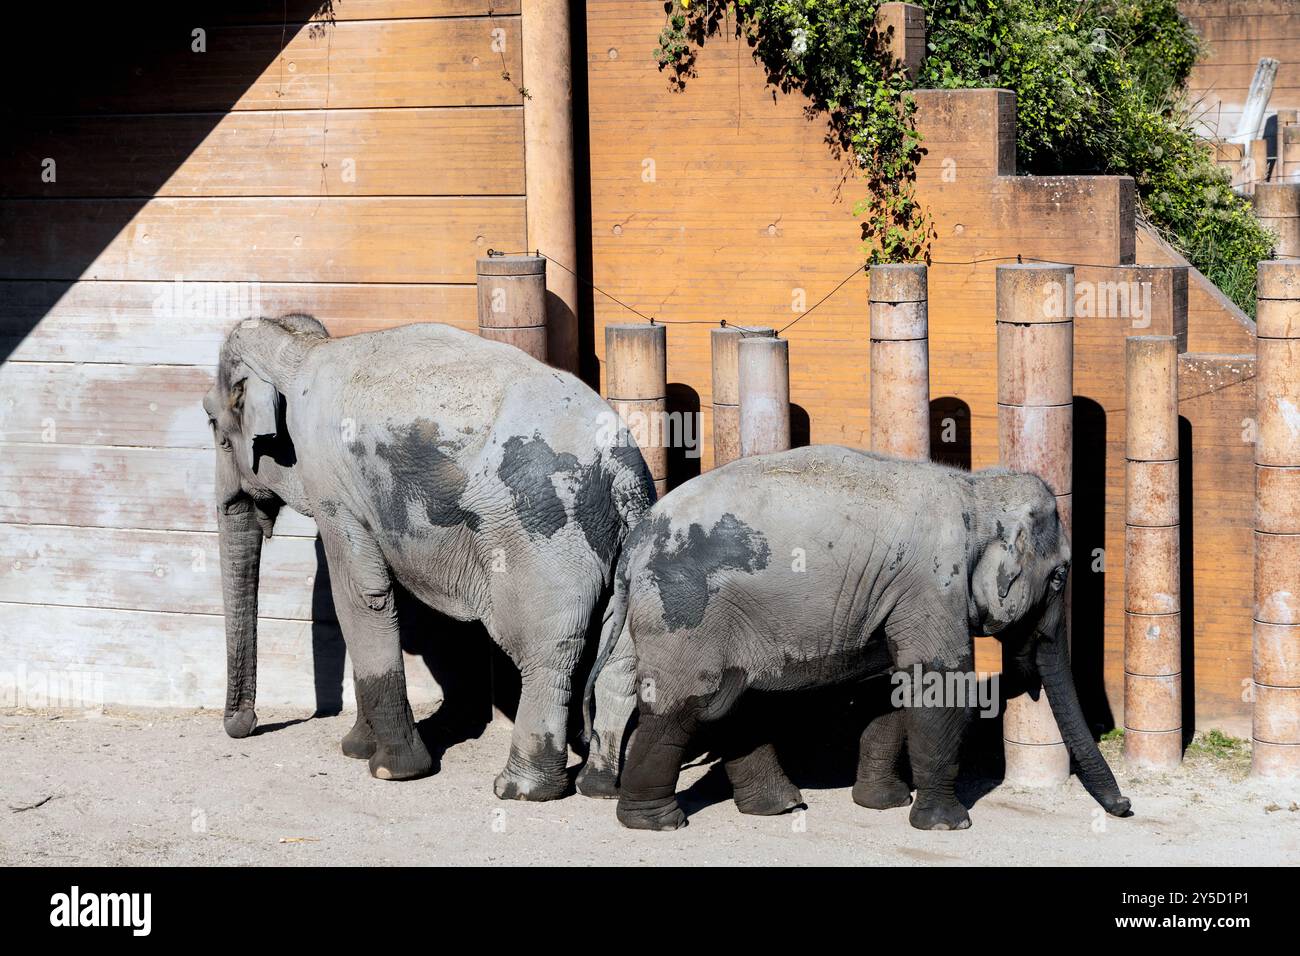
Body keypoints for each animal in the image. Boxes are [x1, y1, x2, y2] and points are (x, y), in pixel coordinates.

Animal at [202, 313, 655, 799]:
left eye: (216, 429)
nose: (244, 725)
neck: (300, 348)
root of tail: (622, 468)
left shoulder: (331, 482)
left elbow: (360, 596)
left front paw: (391, 770)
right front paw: (357, 750)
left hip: (542, 539)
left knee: (548, 652)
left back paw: (519, 790)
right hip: (622, 544)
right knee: (618, 659)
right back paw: (600, 786)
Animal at [582, 445, 1132, 830]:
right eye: (1059, 577)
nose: (1125, 807)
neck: (974, 491)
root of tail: (634, 544)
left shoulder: (897, 595)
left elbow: (890, 687)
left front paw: (884, 804)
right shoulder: (933, 582)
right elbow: (937, 682)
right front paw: (947, 824)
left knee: (730, 700)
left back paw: (781, 807)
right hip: (683, 612)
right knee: (686, 703)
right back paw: (657, 823)